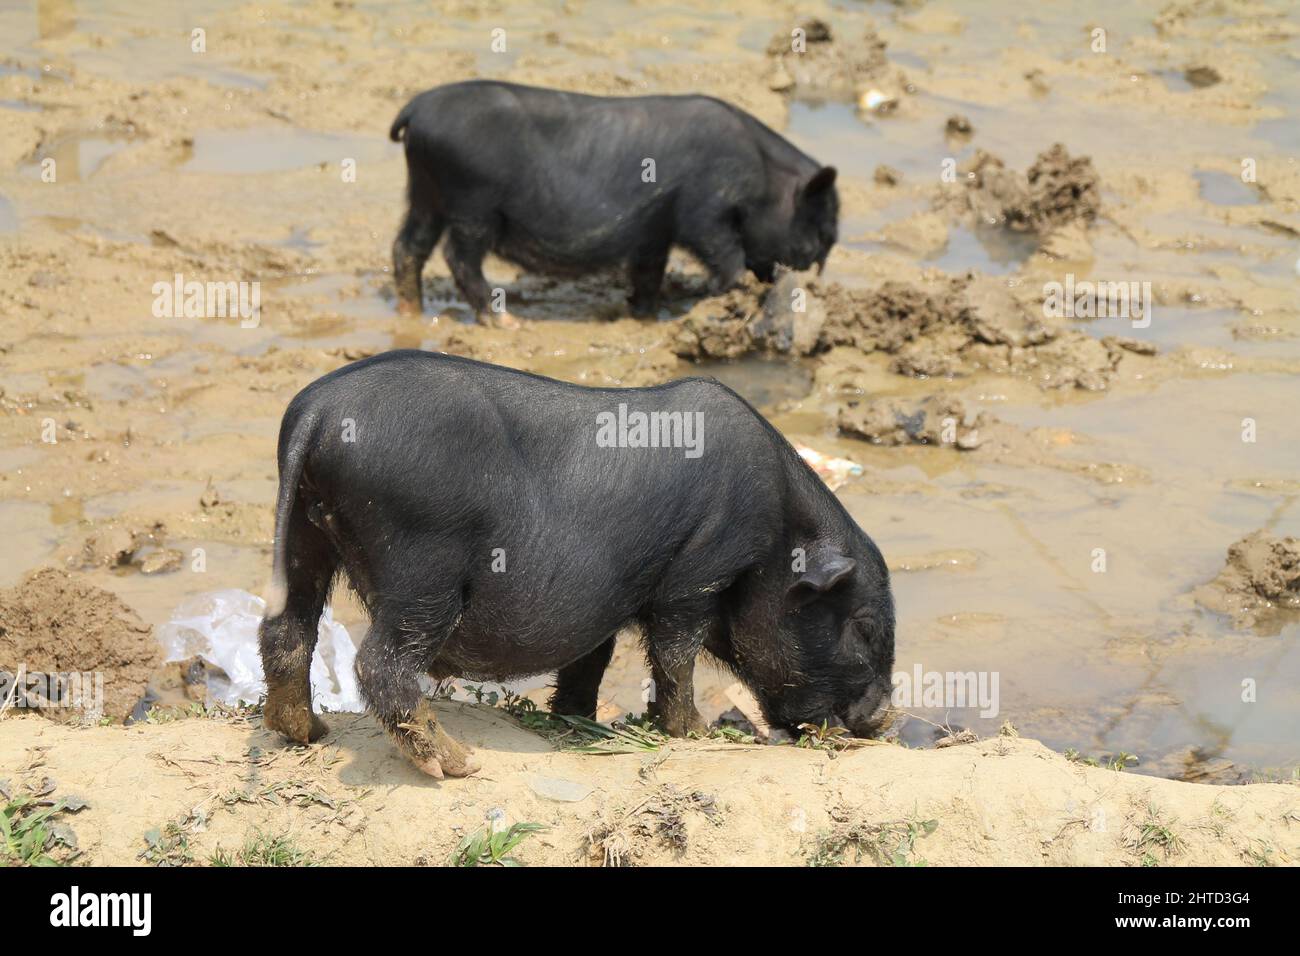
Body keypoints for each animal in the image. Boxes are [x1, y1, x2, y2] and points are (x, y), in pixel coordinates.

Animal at [258, 350, 893, 777]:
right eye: (864, 629)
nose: (885, 717)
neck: (779, 531)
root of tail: (318, 411)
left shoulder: (613, 605)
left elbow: (594, 659)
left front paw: (575, 720)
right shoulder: (699, 570)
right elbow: (676, 653)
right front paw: (693, 732)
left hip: (305, 537)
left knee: (285, 629)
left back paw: (308, 733)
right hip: (422, 566)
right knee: (378, 661)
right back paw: (460, 764)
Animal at [389, 80, 839, 326]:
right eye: (820, 237)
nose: (813, 285)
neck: (765, 182)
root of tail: (418, 108)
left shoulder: (654, 232)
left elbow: (649, 273)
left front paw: (643, 315)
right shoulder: (705, 211)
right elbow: (727, 257)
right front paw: (720, 298)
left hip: (425, 192)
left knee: (408, 247)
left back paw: (411, 312)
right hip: (471, 201)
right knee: (457, 256)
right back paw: (506, 323)